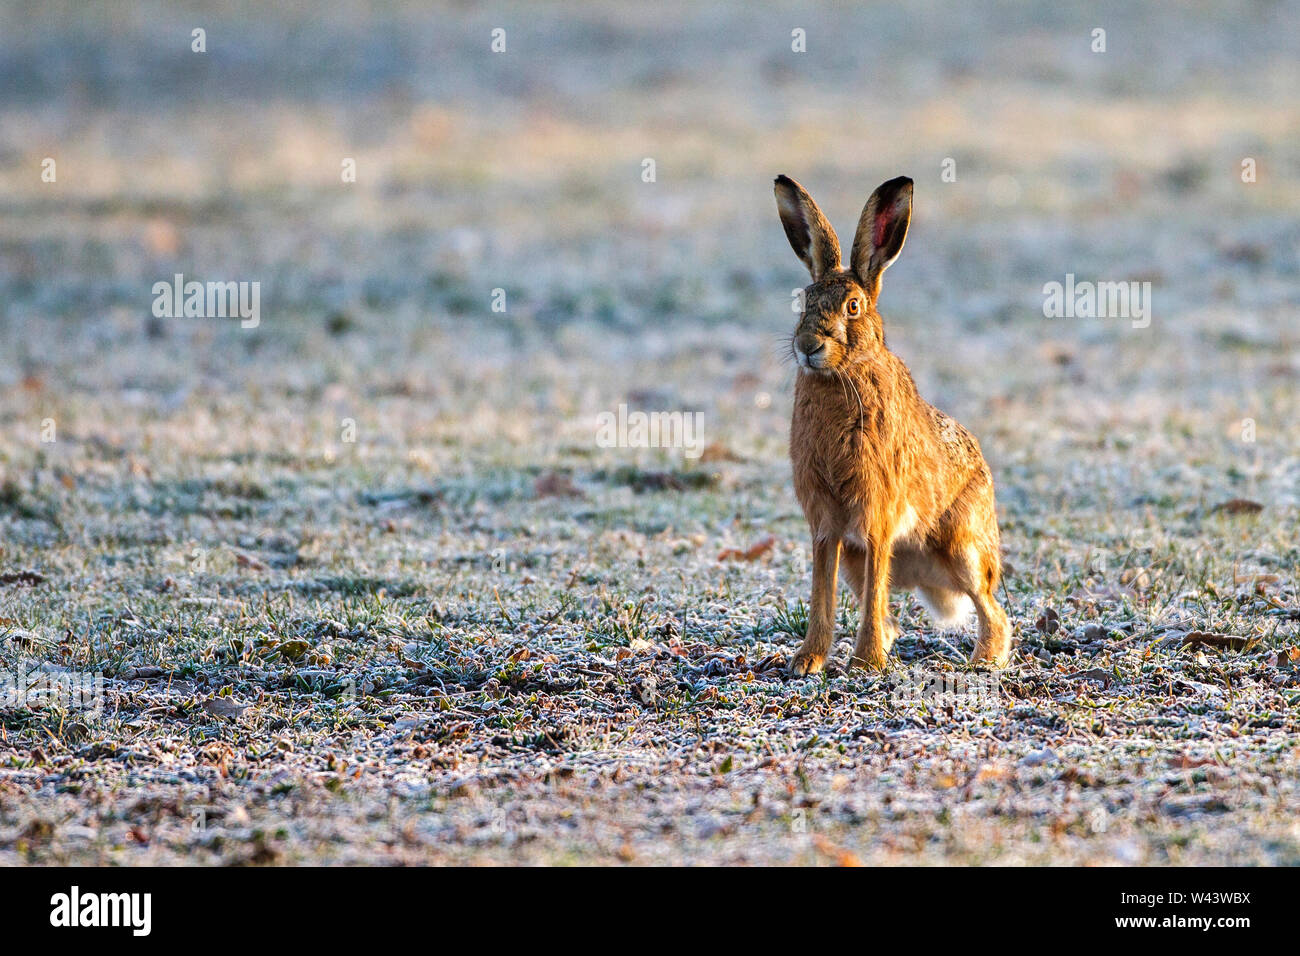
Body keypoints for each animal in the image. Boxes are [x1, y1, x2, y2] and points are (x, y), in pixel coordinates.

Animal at [774, 173, 1012, 675]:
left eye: (853, 307)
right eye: (804, 301)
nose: (807, 345)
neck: (843, 373)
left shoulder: (877, 512)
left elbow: (873, 583)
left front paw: (865, 663)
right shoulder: (825, 525)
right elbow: (822, 591)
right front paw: (807, 661)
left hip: (962, 548)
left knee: (991, 608)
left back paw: (982, 660)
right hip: (856, 558)